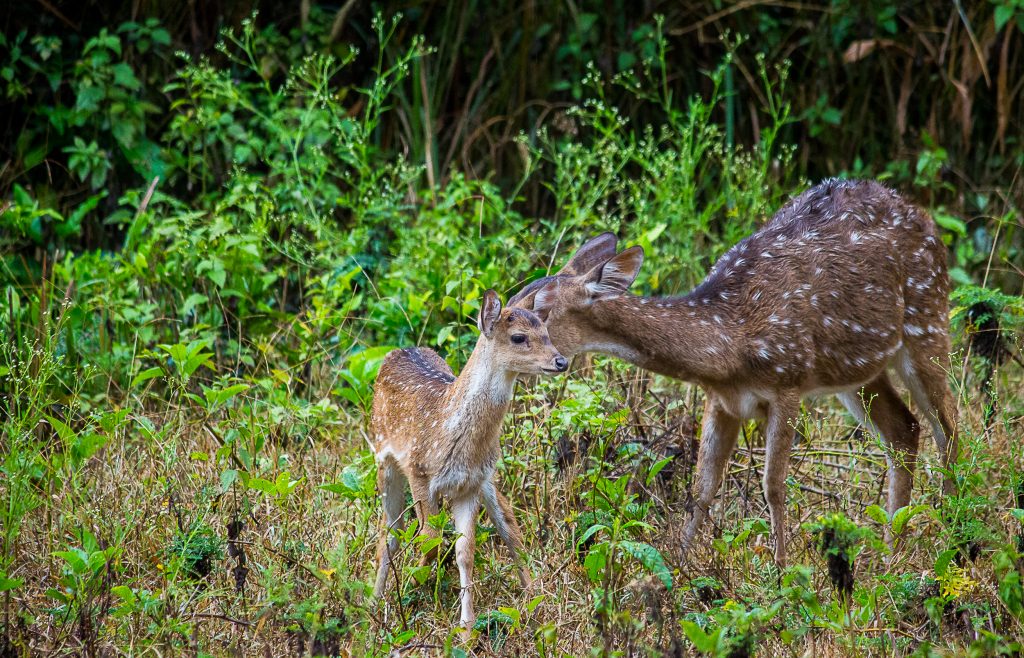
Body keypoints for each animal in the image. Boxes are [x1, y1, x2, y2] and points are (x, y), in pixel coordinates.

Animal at [371, 289, 568, 638]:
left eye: (547, 332)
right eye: (519, 337)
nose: (561, 361)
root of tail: (397, 351)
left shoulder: (469, 485)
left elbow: (465, 551)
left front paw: (465, 629)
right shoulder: (420, 472)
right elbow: (431, 540)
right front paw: (416, 587)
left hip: (484, 480)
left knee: (509, 524)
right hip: (384, 458)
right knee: (390, 532)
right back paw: (376, 605)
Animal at [510, 178, 959, 566]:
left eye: (541, 310)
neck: (731, 345)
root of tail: (923, 215)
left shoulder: (789, 379)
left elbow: (773, 486)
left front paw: (783, 574)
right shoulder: (722, 400)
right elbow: (702, 488)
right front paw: (678, 568)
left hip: (928, 319)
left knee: (948, 428)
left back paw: (952, 535)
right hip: (857, 370)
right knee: (904, 430)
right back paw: (891, 552)